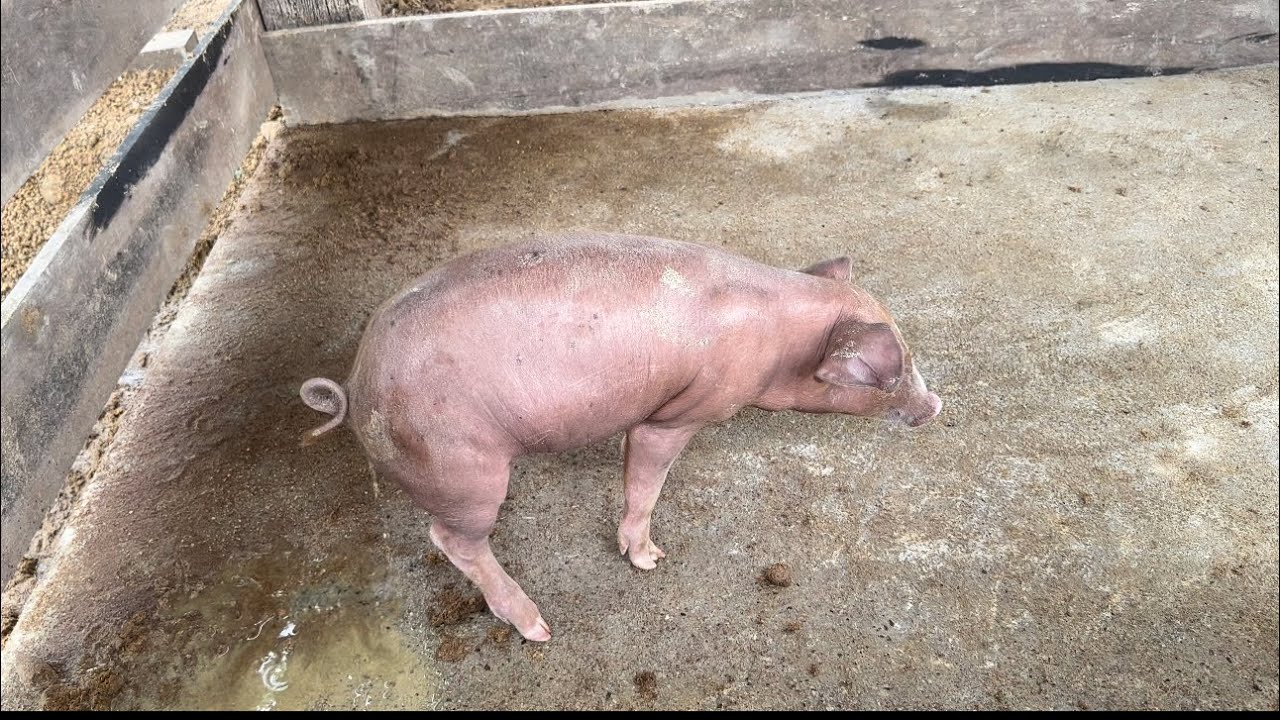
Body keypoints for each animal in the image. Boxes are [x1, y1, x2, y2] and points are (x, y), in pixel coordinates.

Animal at [301, 233, 941, 642]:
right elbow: (647, 484)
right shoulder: (676, 414)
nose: (935, 406)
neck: (781, 343)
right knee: (452, 538)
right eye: (894, 369)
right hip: (461, 466)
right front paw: (651, 561)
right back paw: (538, 629)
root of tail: (354, 386)